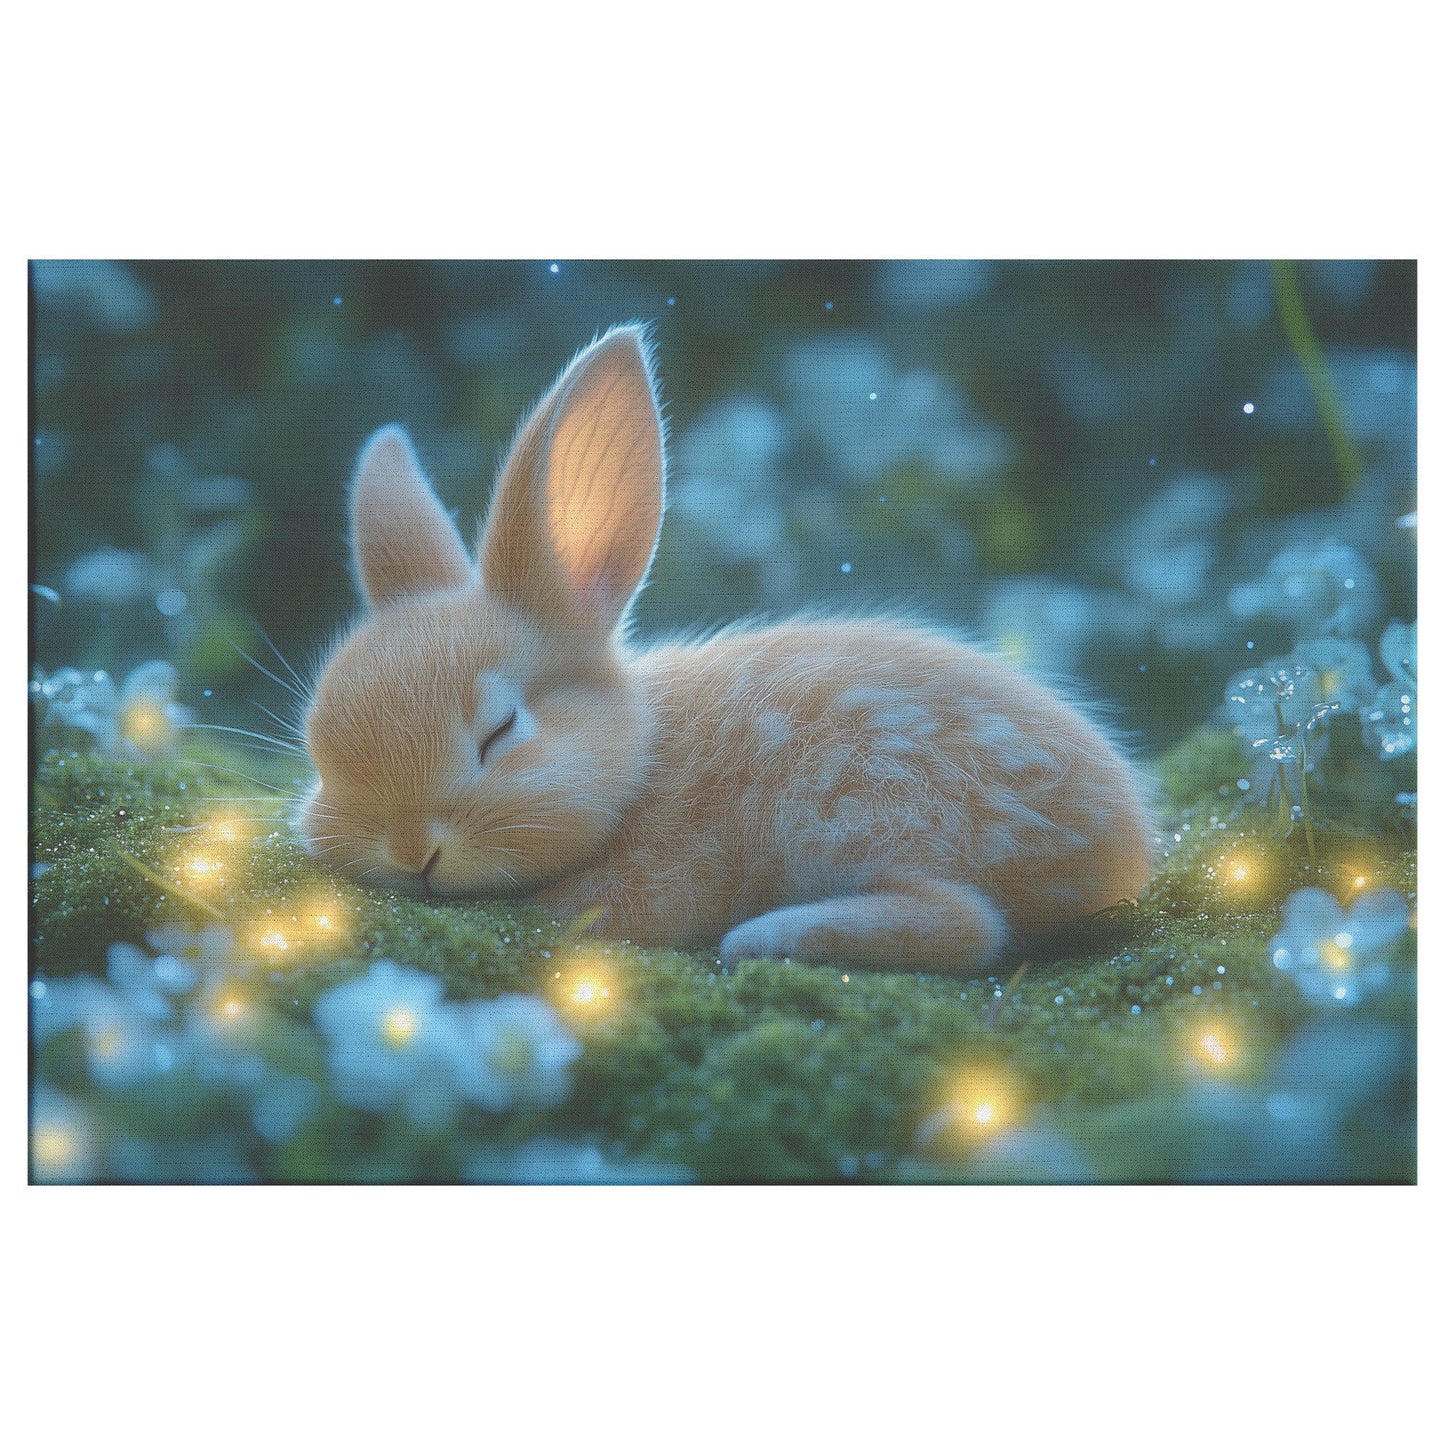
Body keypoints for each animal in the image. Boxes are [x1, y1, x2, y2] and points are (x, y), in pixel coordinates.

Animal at [298, 323, 1154, 972]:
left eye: (500, 731)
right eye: (320, 753)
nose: (411, 850)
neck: (644, 762)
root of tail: (1120, 840)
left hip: (869, 809)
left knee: (969, 924)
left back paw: (766, 936)